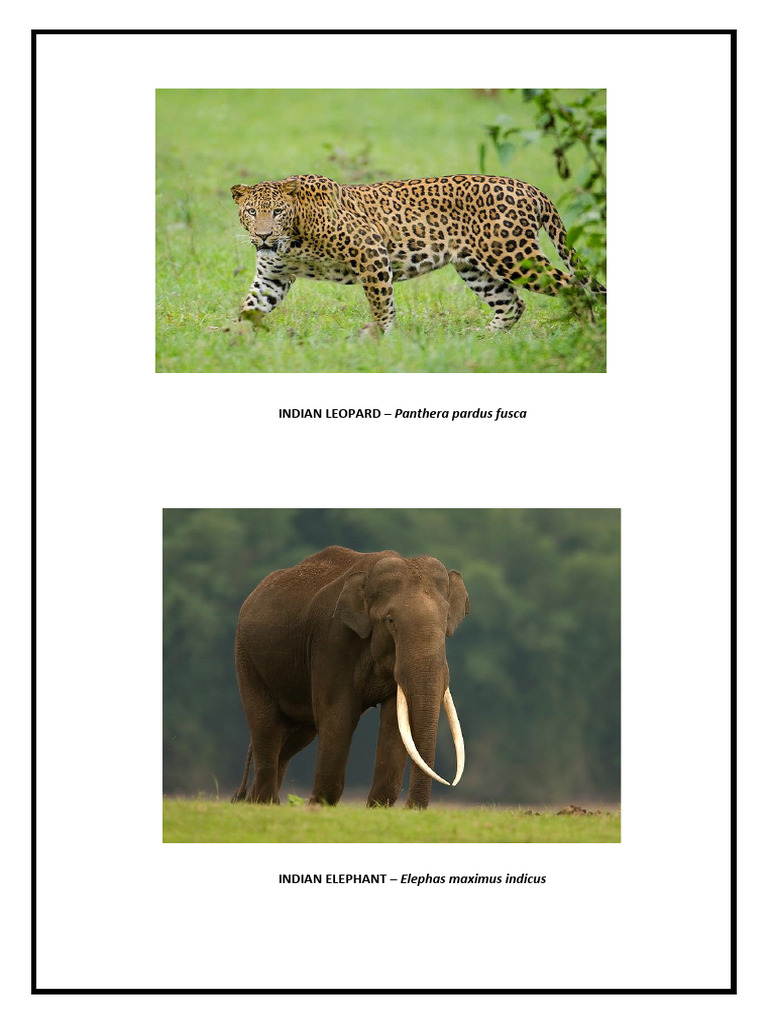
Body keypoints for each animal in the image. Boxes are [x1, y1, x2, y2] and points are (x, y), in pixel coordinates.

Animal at [230, 173, 605, 334]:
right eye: (251, 211)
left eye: (277, 211)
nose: (263, 235)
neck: (292, 237)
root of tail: (530, 187)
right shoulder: (272, 277)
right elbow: (249, 308)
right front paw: (228, 341)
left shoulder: (371, 252)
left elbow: (381, 305)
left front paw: (381, 338)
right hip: (475, 267)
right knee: (512, 304)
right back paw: (481, 338)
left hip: (513, 255)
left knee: (575, 287)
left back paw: (589, 331)